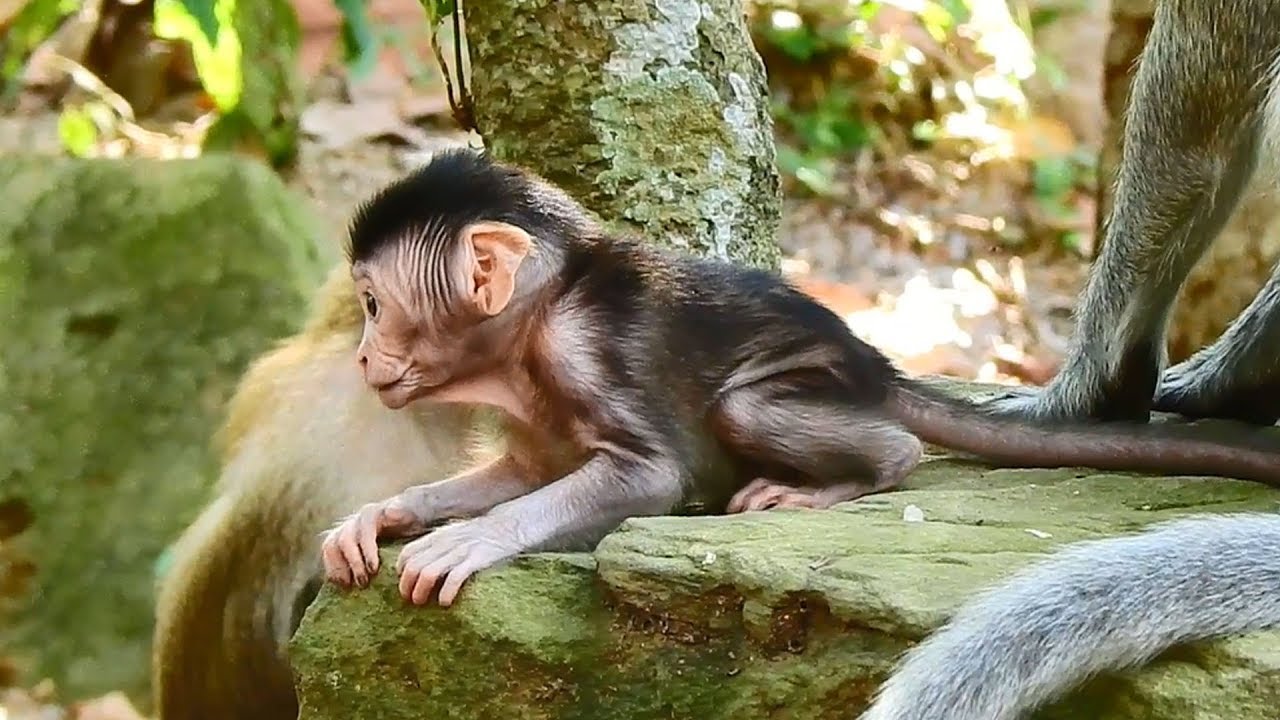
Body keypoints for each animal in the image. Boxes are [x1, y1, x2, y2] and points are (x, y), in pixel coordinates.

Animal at [318, 147, 1280, 609]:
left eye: (371, 304)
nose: (363, 358)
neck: (529, 332)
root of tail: (872, 360)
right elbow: (526, 471)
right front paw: (383, 515)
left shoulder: (583, 349)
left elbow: (651, 475)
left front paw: (475, 540)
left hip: (816, 383)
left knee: (765, 412)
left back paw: (851, 473)